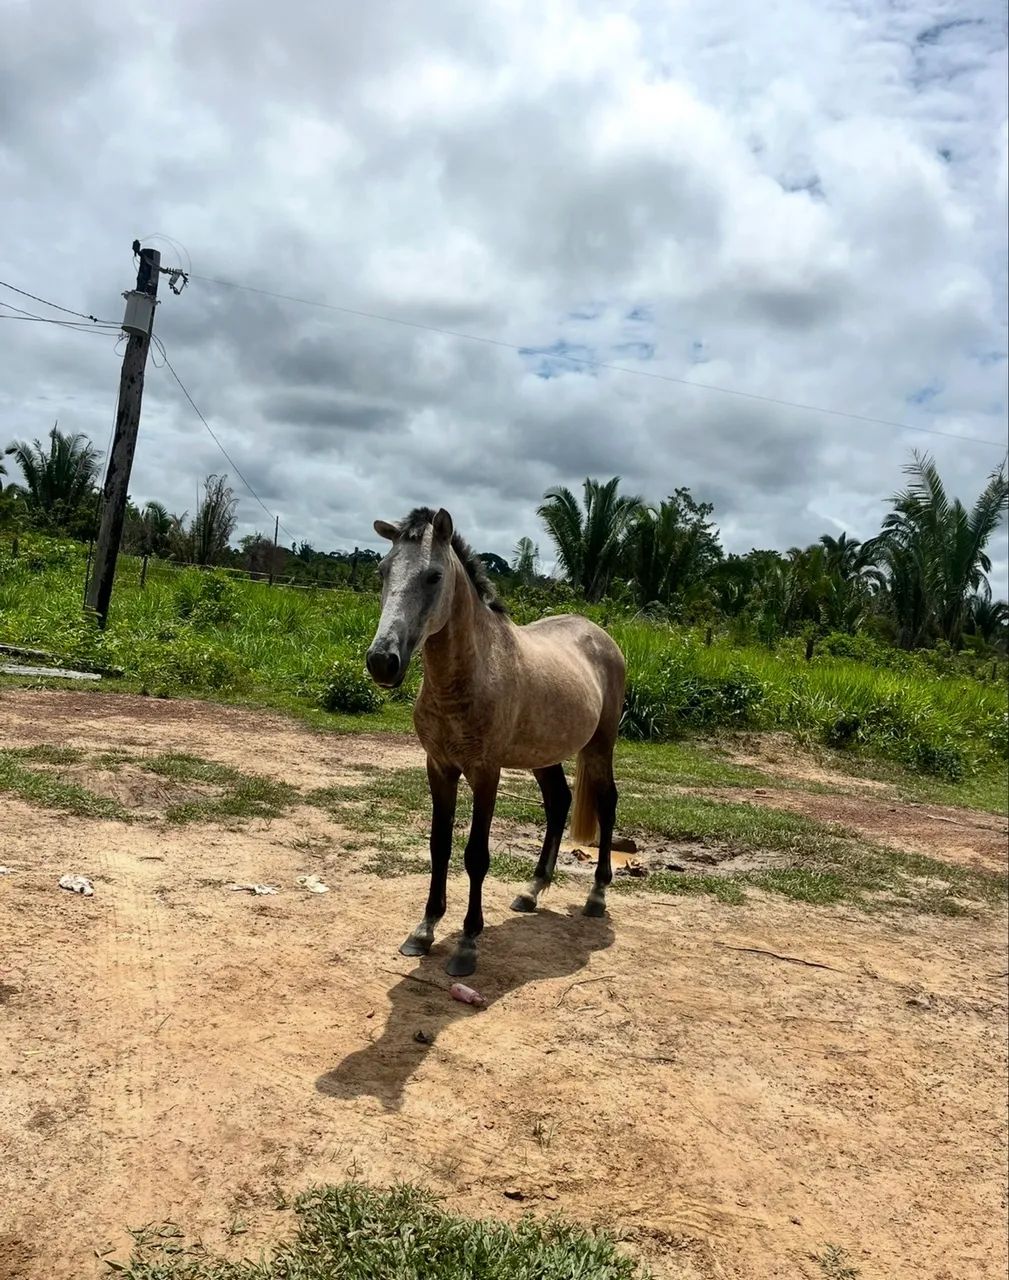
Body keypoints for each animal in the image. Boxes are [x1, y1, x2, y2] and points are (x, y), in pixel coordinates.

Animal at [365, 506, 626, 977]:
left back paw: (596, 896)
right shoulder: (439, 768)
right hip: (544, 754)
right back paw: (531, 891)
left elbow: (475, 855)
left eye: (433, 576)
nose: (382, 662)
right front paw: (424, 930)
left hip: (600, 745)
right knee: (558, 801)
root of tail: (599, 636)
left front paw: (468, 944)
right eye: (383, 571)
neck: (470, 674)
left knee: (607, 801)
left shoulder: (485, 772)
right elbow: (439, 846)